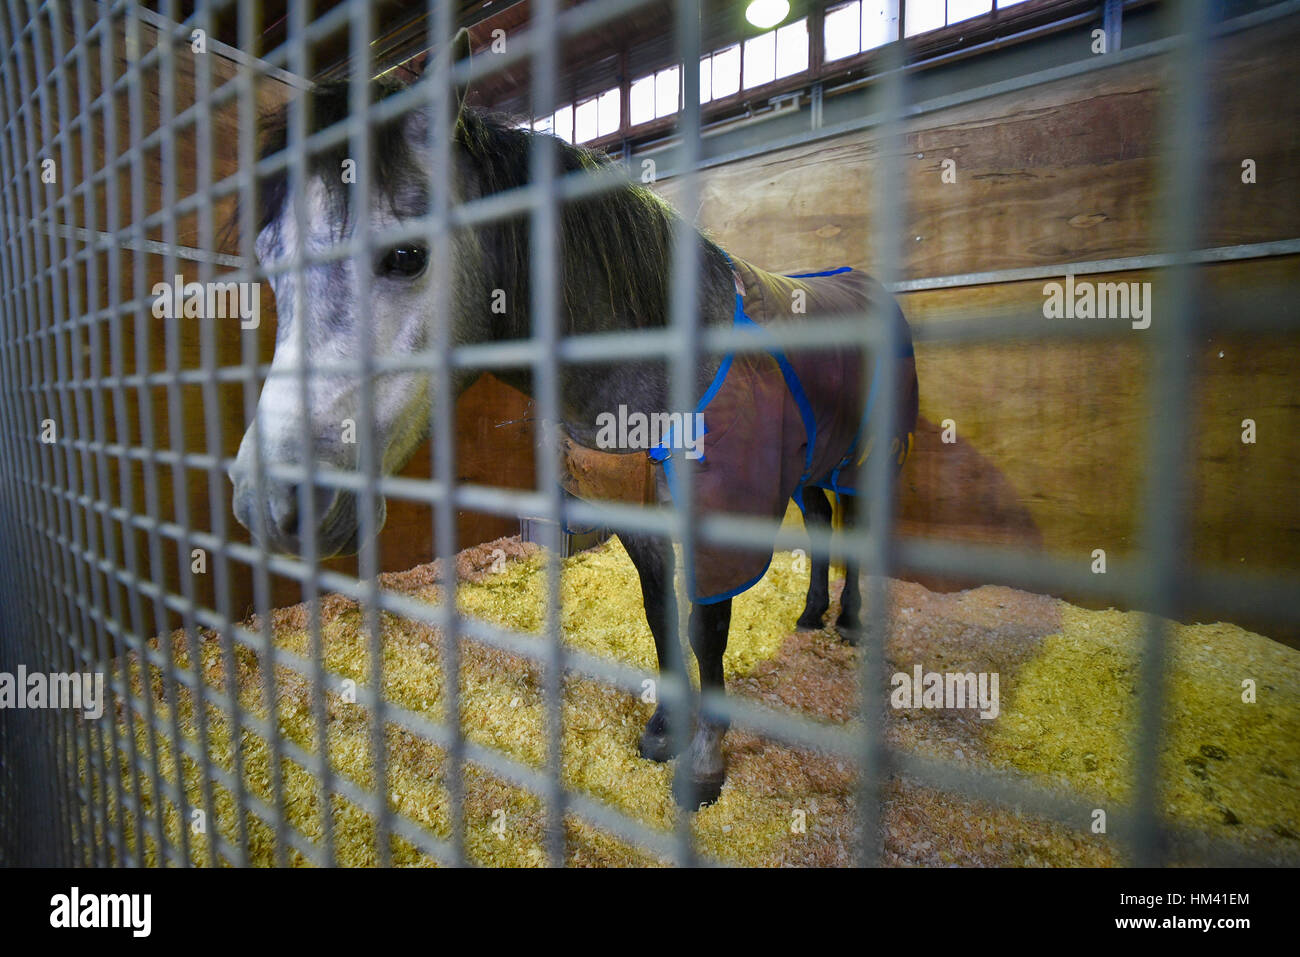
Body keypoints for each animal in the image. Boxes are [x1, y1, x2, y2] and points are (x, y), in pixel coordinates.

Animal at [227, 55, 918, 808]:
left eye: (407, 256)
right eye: (268, 258)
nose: (271, 501)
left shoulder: (716, 524)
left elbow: (706, 630)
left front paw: (704, 765)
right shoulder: (638, 521)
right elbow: (659, 616)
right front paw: (664, 727)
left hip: (865, 458)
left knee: (854, 525)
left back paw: (848, 622)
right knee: (821, 523)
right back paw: (813, 612)